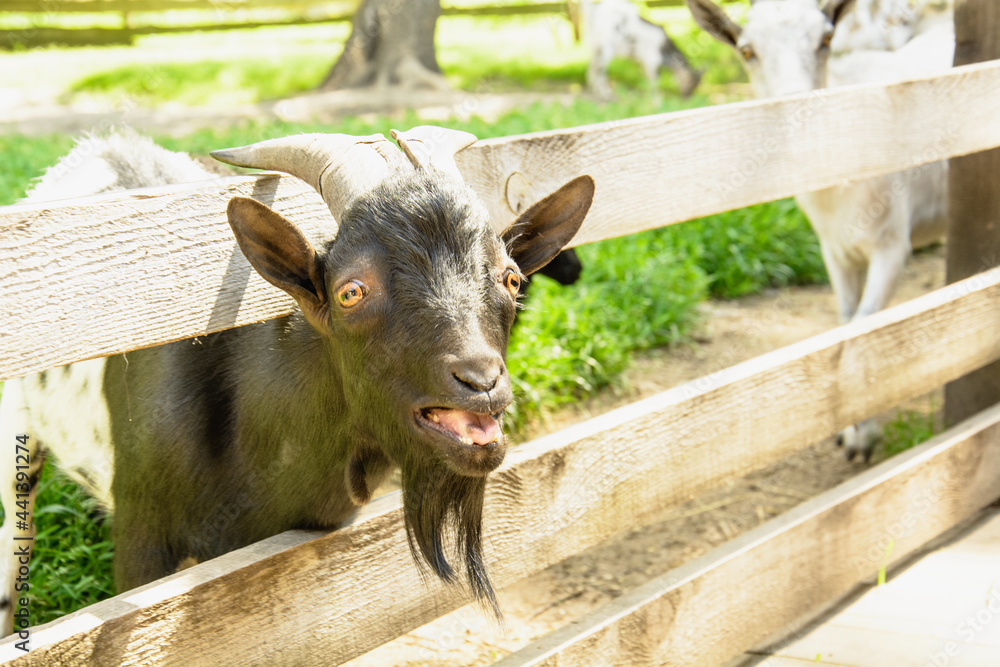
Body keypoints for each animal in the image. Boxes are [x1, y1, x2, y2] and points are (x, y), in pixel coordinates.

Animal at [687, 0, 952, 461]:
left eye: (826, 39)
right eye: (747, 50)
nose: (800, 114)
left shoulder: (891, 244)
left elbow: (865, 324)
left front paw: (864, 436)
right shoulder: (835, 250)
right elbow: (845, 321)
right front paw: (850, 427)